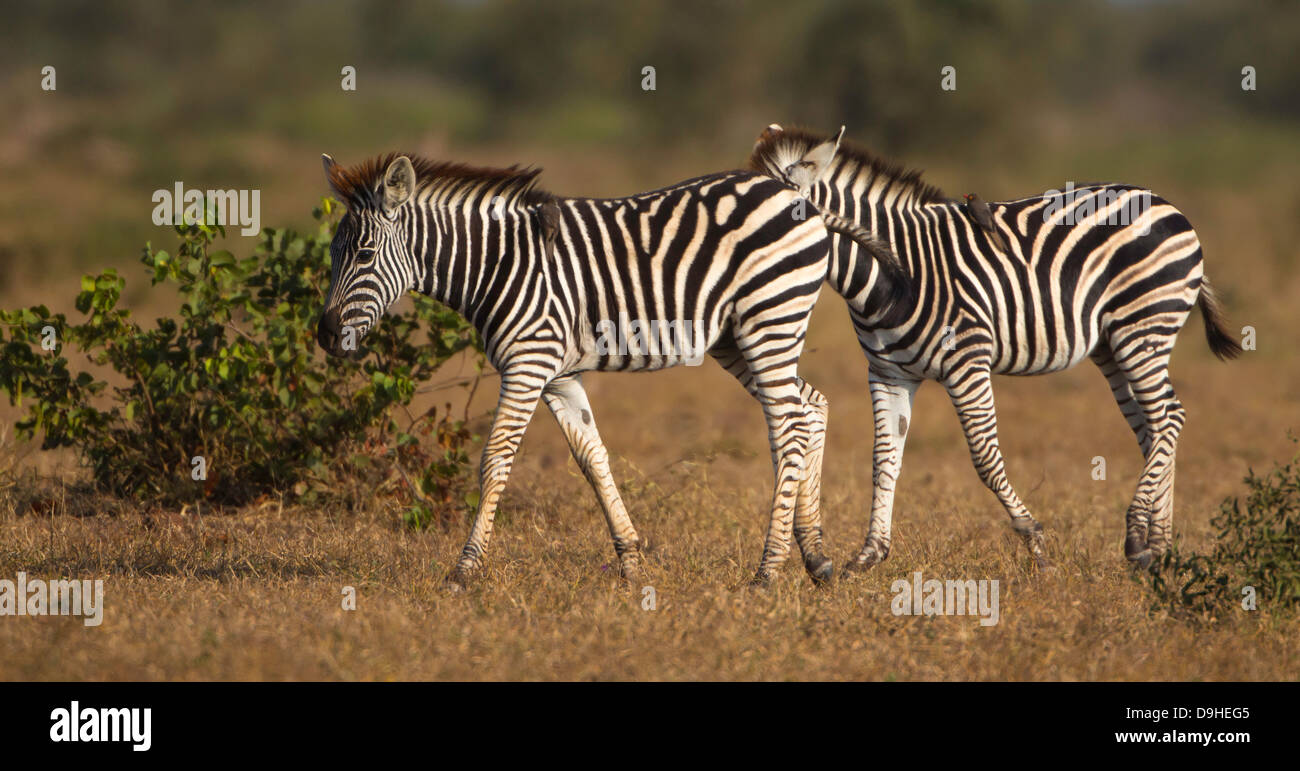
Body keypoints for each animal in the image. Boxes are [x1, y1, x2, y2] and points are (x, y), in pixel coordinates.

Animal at [315, 151, 907, 588]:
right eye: (333, 254)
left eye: (363, 255)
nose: (324, 335)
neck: (497, 265)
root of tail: (798, 197)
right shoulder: (558, 376)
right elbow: (592, 458)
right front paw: (632, 563)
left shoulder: (527, 363)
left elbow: (495, 459)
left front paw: (463, 571)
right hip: (738, 337)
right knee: (810, 407)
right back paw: (816, 558)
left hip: (770, 317)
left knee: (788, 428)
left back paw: (768, 570)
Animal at [748, 125, 1241, 574]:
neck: (893, 273)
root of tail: (1166, 204)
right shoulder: (889, 373)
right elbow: (883, 459)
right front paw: (869, 554)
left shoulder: (967, 363)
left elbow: (984, 458)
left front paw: (1035, 544)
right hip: (1113, 346)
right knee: (1152, 430)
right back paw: (1158, 549)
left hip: (1144, 328)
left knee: (1170, 417)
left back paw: (1139, 539)